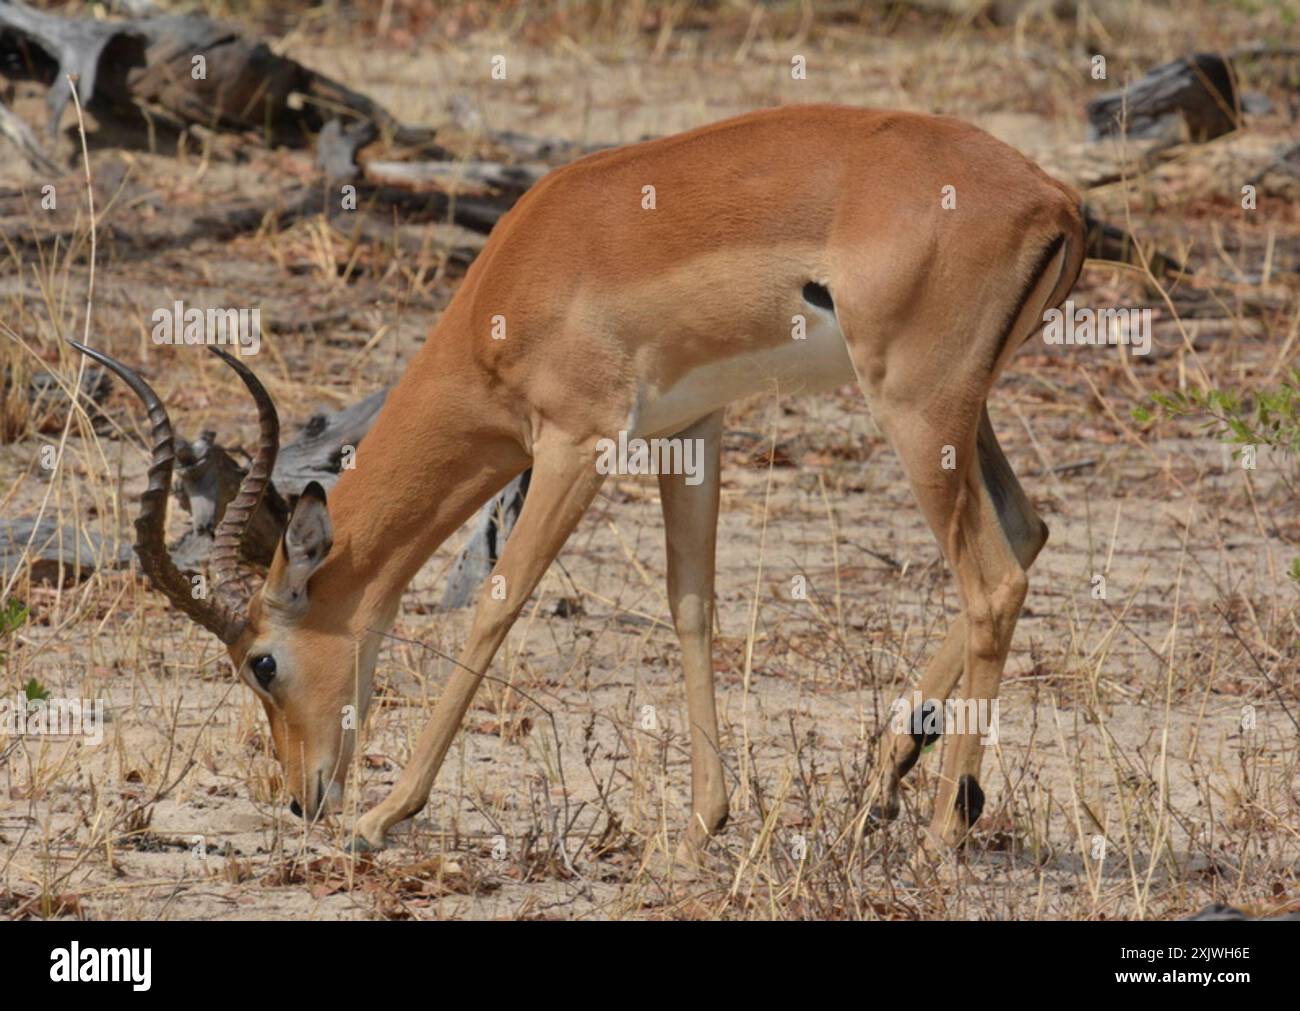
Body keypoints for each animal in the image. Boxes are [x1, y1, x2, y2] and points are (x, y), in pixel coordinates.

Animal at [74, 104, 1084, 863]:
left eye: (262, 661)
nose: (302, 798)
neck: (524, 274)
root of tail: (1055, 196)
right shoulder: (690, 431)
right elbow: (691, 602)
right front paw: (704, 819)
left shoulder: (575, 443)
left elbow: (496, 602)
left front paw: (384, 815)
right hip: (957, 416)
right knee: (1027, 531)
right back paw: (883, 783)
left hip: (914, 409)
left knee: (993, 578)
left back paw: (941, 830)